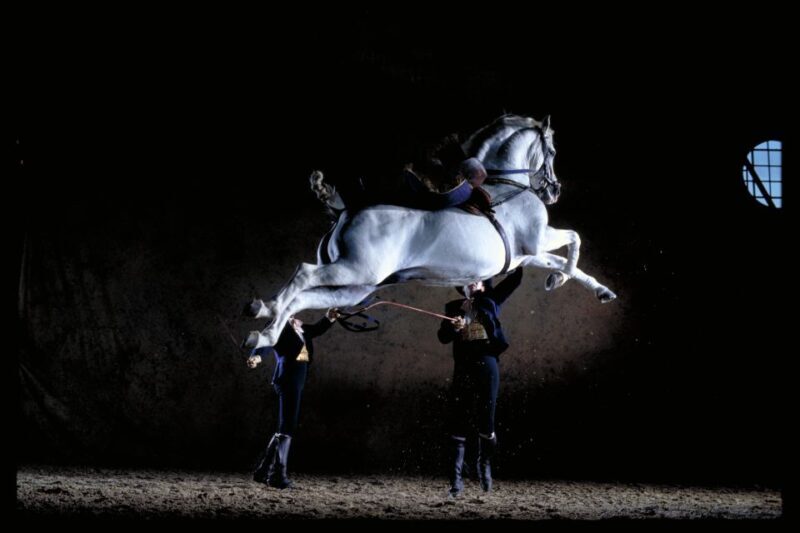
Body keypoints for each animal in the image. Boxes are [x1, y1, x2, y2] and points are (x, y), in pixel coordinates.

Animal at [243, 114, 616, 350]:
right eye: (551, 150)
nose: (554, 191)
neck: (507, 186)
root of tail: (344, 211)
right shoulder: (539, 240)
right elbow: (574, 239)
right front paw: (559, 279)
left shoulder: (525, 255)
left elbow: (565, 260)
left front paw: (595, 289)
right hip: (354, 270)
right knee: (303, 274)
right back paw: (265, 311)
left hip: (354, 288)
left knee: (303, 298)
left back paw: (263, 332)